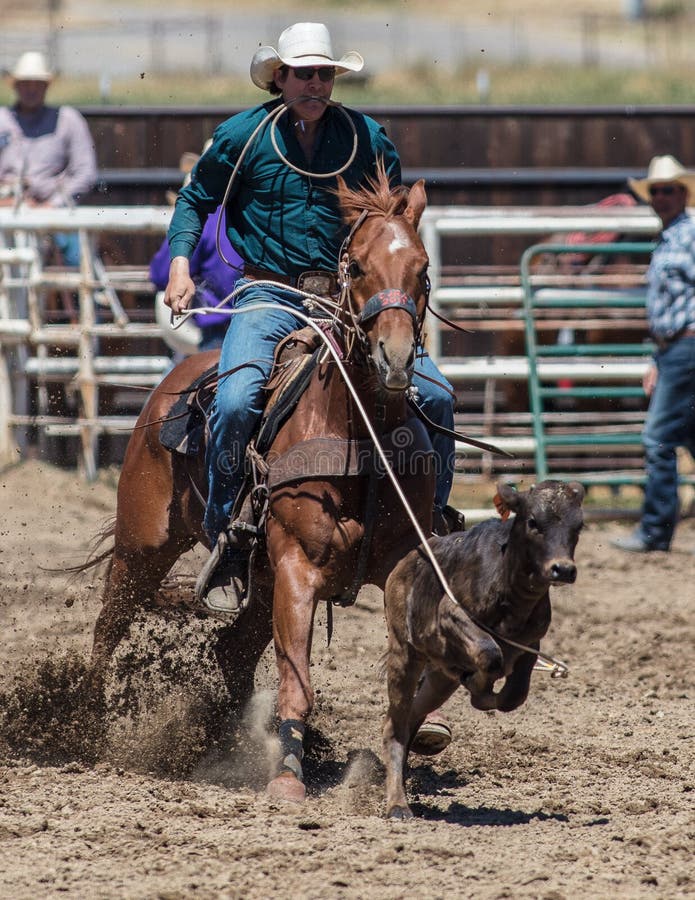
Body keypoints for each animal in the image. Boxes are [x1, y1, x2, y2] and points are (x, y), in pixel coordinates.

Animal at [381, 479, 585, 819]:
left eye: (578, 525)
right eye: (533, 522)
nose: (563, 569)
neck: (510, 592)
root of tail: (405, 562)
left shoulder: (531, 643)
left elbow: (514, 695)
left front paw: (485, 692)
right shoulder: (451, 615)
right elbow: (490, 656)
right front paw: (479, 685)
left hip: (440, 679)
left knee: (410, 717)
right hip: (404, 655)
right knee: (395, 729)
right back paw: (397, 804)